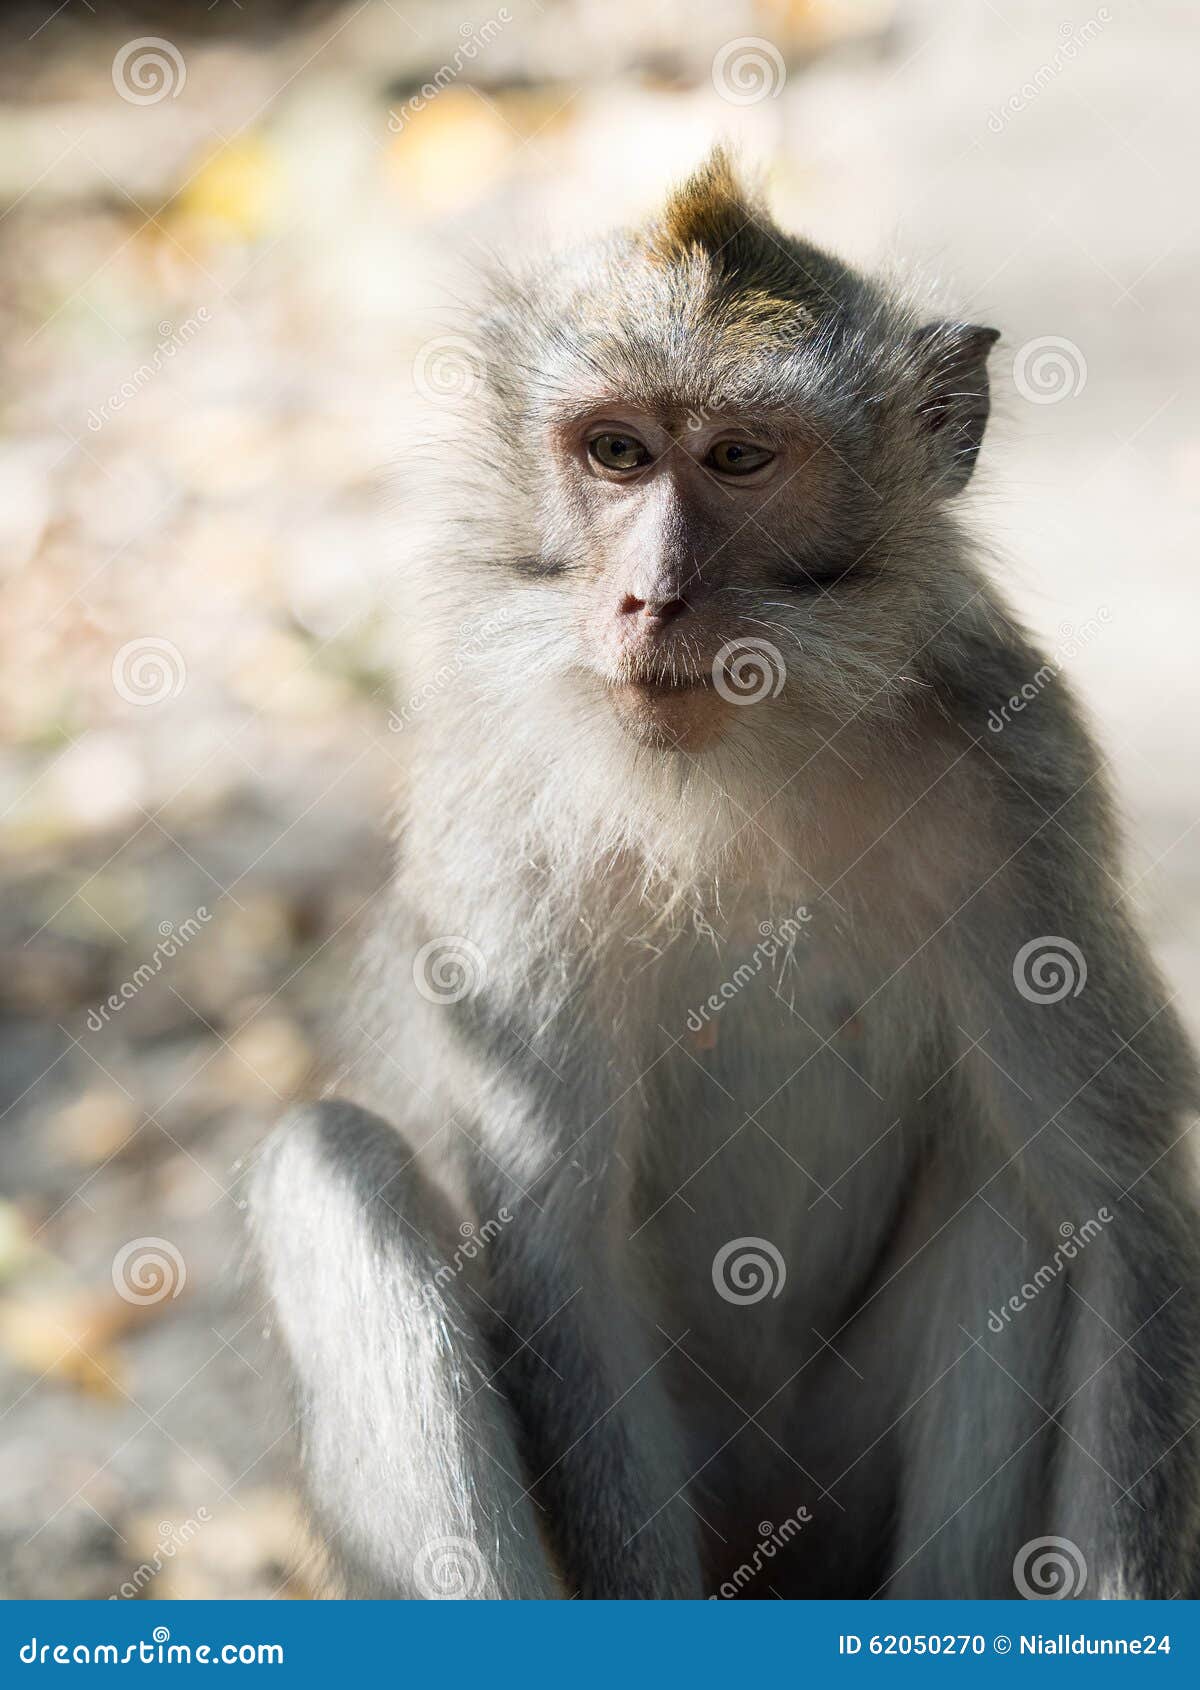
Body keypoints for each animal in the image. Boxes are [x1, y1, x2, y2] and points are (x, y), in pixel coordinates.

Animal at [249, 149, 1200, 1601]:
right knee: (330, 1163)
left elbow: (1116, 1198)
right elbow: (556, 1239)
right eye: (617, 452)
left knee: (1018, 1187)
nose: (650, 599)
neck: (737, 767)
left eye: (740, 457)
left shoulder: (1022, 781)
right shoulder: (499, 812)